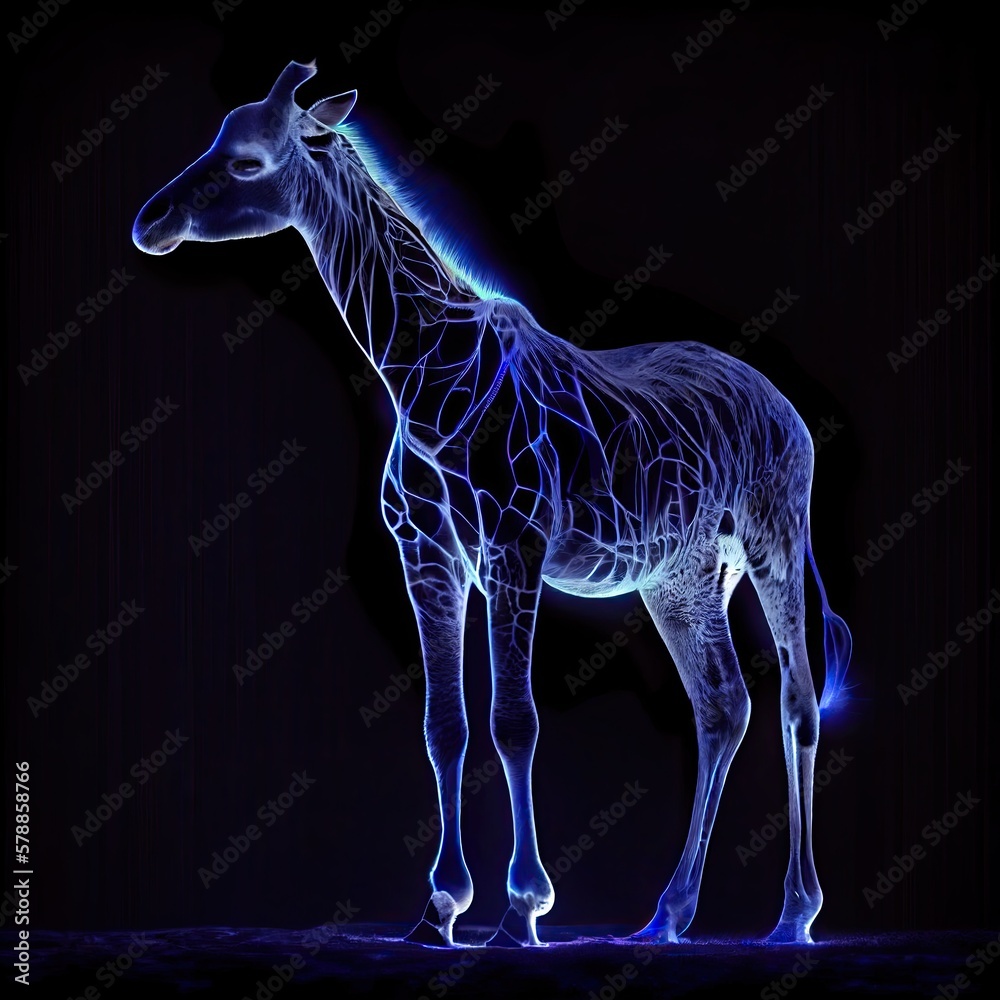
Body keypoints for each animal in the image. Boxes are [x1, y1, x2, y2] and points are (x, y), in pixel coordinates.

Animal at [132, 61, 852, 949]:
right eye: (215, 141)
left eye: (247, 165)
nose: (150, 222)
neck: (426, 381)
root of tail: (787, 409)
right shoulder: (427, 556)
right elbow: (445, 725)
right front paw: (438, 910)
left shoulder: (514, 548)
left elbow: (515, 722)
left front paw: (521, 910)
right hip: (679, 576)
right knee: (722, 705)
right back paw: (666, 917)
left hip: (772, 540)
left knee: (796, 704)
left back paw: (793, 918)